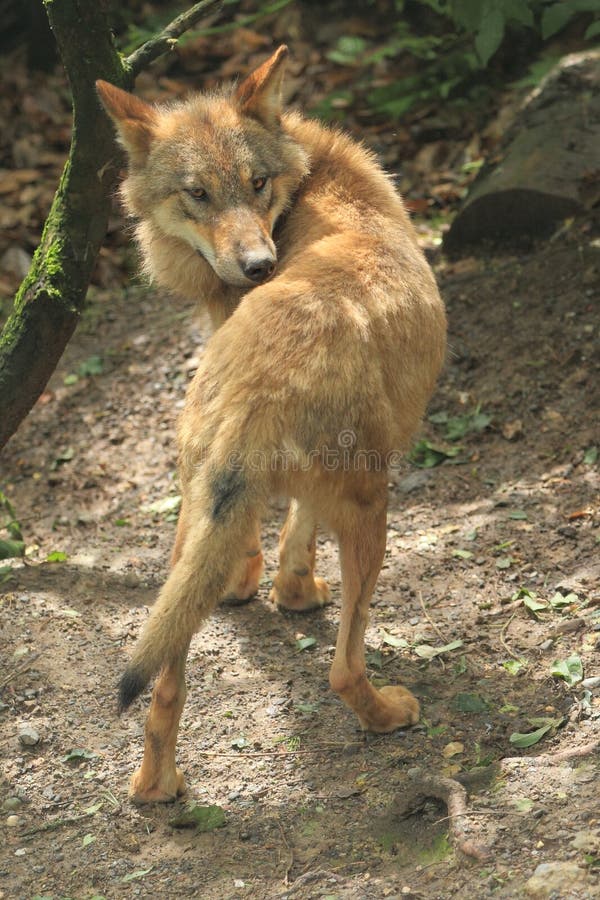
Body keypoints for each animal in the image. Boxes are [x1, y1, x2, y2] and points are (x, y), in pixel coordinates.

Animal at [96, 45, 446, 804]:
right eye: (197, 194)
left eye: (255, 184)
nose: (259, 266)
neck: (314, 179)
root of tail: (258, 390)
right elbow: (296, 537)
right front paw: (294, 594)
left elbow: (274, 539)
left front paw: (263, 589)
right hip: (375, 513)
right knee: (342, 668)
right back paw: (387, 716)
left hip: (189, 514)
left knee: (162, 683)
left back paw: (156, 789)